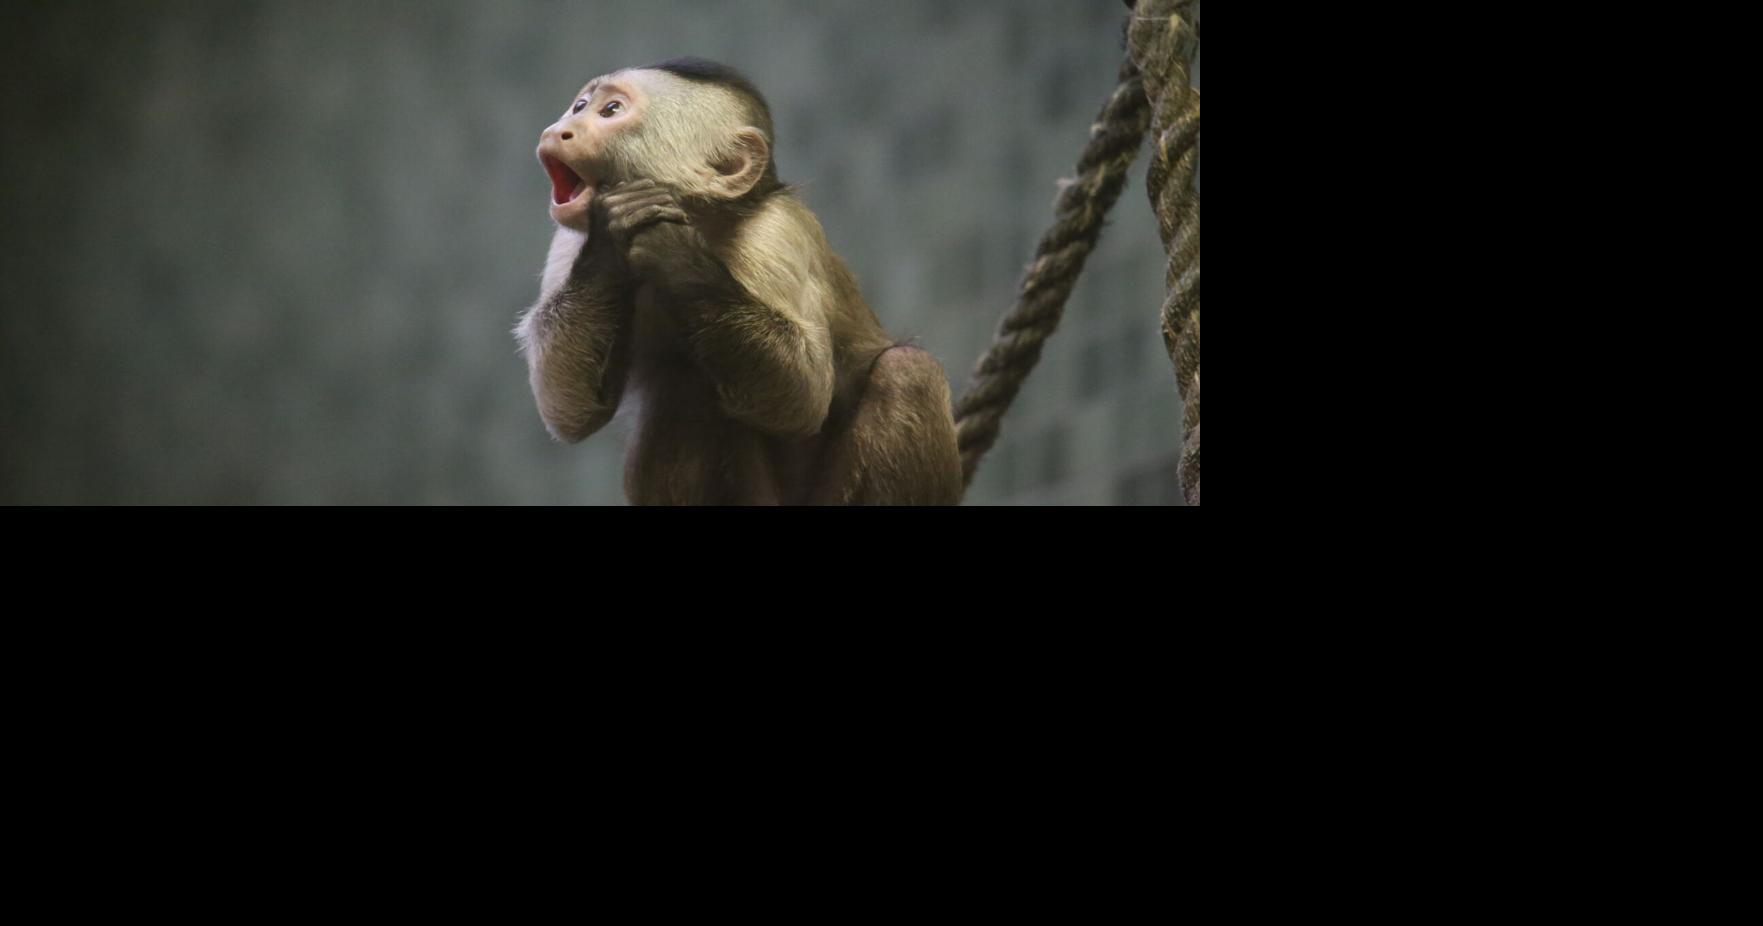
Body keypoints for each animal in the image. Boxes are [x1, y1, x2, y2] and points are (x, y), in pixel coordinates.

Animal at [515, 58, 964, 506]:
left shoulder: (777, 228)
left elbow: (802, 396)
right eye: (580, 106)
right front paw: (612, 237)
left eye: (610, 111)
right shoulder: (568, 245)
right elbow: (571, 410)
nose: (559, 129)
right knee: (683, 385)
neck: (705, 218)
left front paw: (676, 252)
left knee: (908, 371)